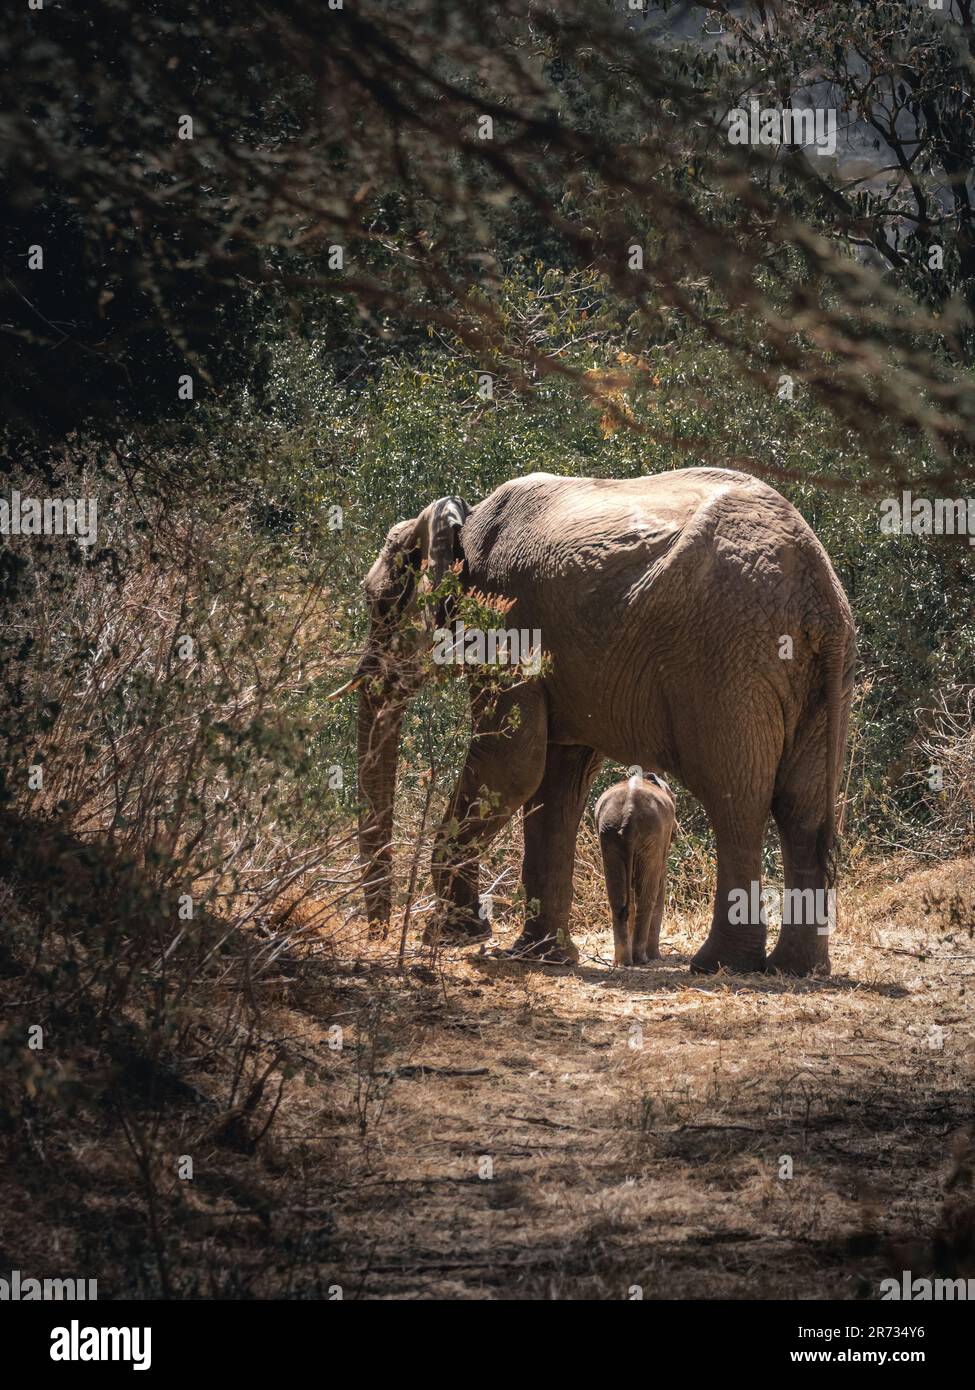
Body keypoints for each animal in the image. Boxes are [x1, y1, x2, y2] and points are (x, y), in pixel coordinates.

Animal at [595, 772, 676, 968]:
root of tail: (628, 815)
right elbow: (660, 886)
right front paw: (657, 957)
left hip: (609, 833)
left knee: (618, 898)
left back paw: (622, 961)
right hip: (652, 834)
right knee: (648, 895)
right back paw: (642, 959)